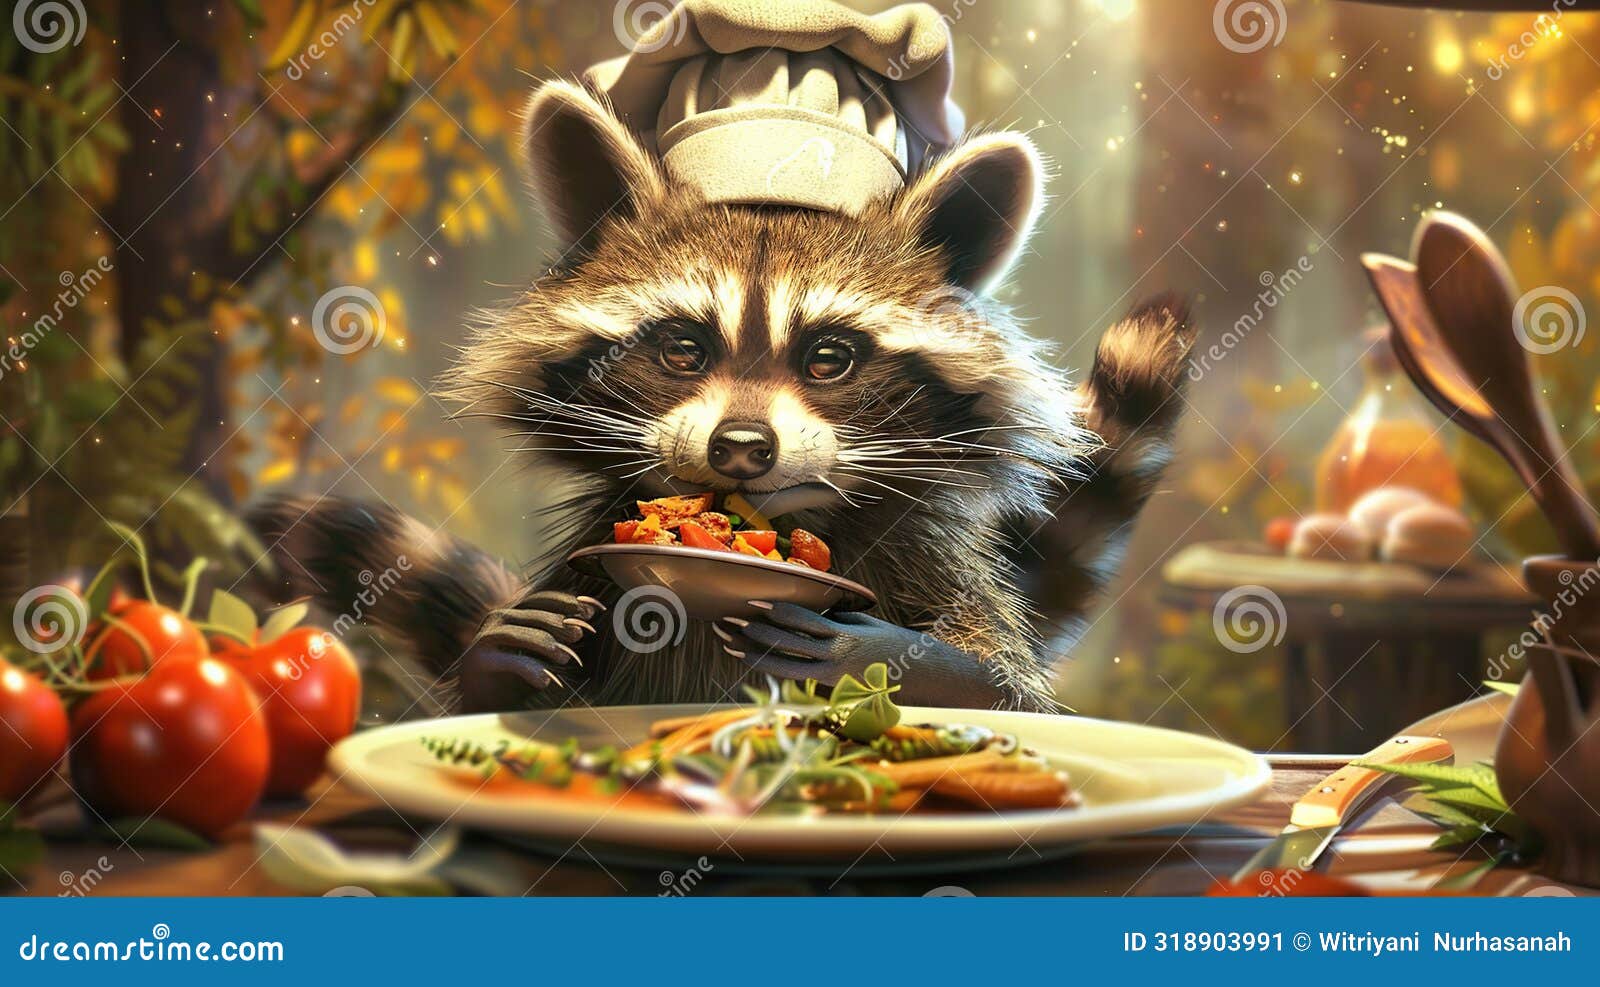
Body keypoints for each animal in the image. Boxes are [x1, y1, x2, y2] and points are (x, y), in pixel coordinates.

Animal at [251, 80, 1195, 714]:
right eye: (683, 347)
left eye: (828, 359)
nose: (741, 448)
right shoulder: (596, 570)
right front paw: (498, 660)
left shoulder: (927, 566)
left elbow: (1012, 700)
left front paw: (917, 663)